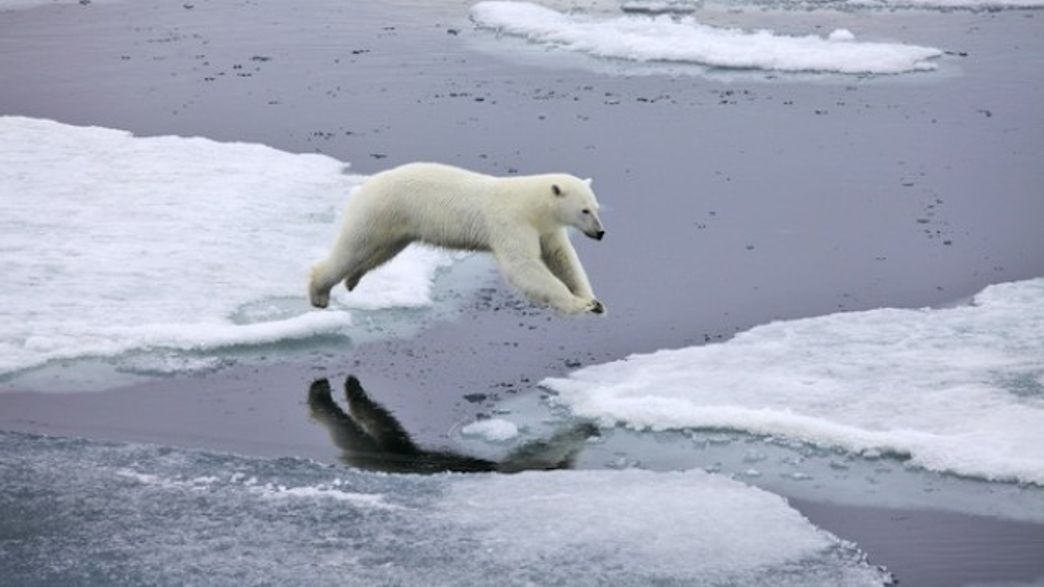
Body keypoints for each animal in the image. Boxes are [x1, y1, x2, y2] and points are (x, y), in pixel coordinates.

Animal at [308, 162, 606, 315]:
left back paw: (353, 279)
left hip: (397, 224)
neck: (531, 204)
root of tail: (366, 185)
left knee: (381, 252)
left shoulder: (545, 228)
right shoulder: (510, 222)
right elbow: (524, 266)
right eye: (584, 210)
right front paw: (578, 304)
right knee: (352, 248)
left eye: (596, 207)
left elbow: (562, 258)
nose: (601, 232)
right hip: (380, 211)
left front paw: (594, 301)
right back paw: (319, 293)